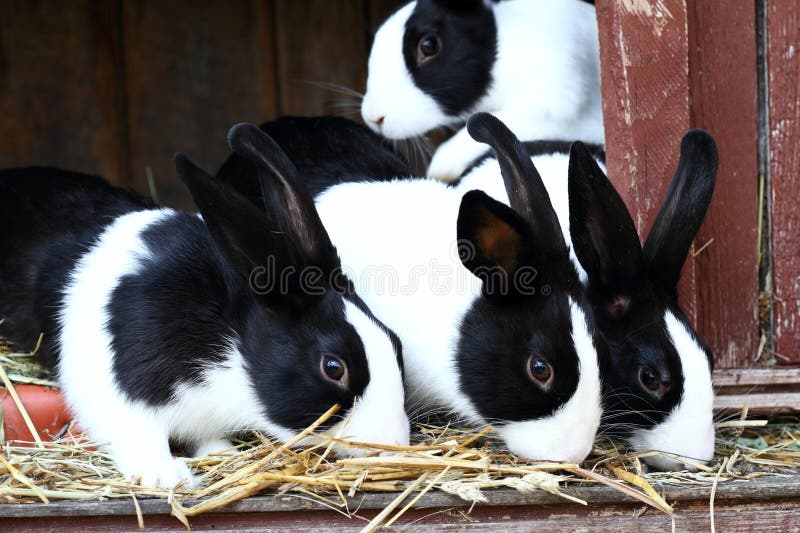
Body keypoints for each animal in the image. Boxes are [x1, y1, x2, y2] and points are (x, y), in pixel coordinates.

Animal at [0, 126, 410, 488]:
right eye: (334, 367)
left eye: (395, 343)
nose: (395, 443)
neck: (228, 333)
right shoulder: (120, 395)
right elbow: (137, 434)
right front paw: (165, 476)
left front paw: (222, 452)